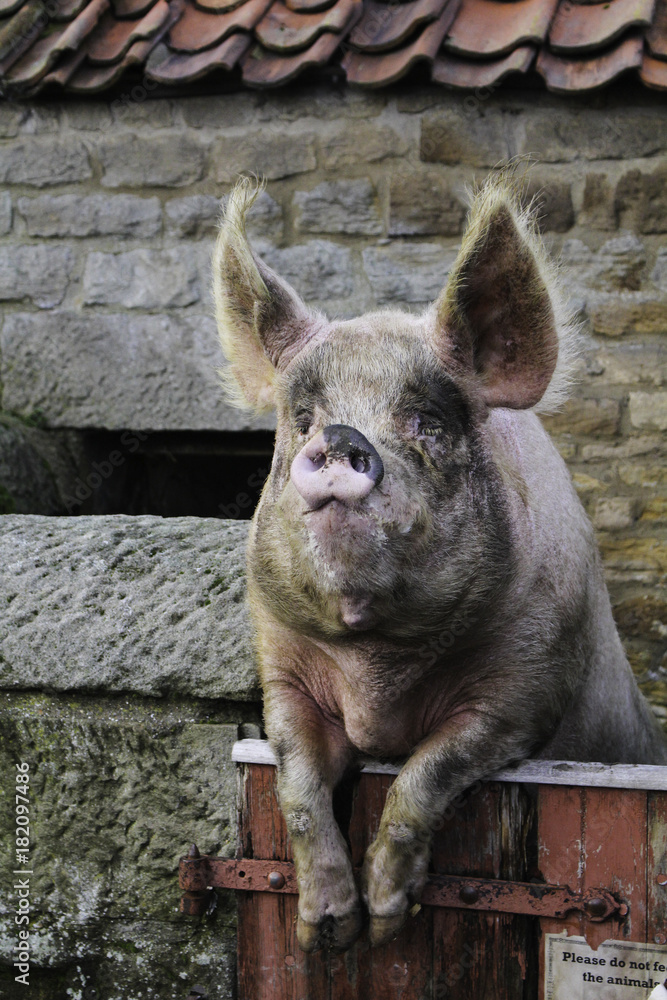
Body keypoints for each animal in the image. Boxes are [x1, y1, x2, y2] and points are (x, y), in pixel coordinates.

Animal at [212, 175, 667, 954]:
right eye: (303, 420)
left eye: (426, 421)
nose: (340, 438)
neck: (376, 670)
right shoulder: (281, 664)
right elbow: (297, 787)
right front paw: (326, 934)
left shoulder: (528, 688)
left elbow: (427, 773)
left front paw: (387, 923)